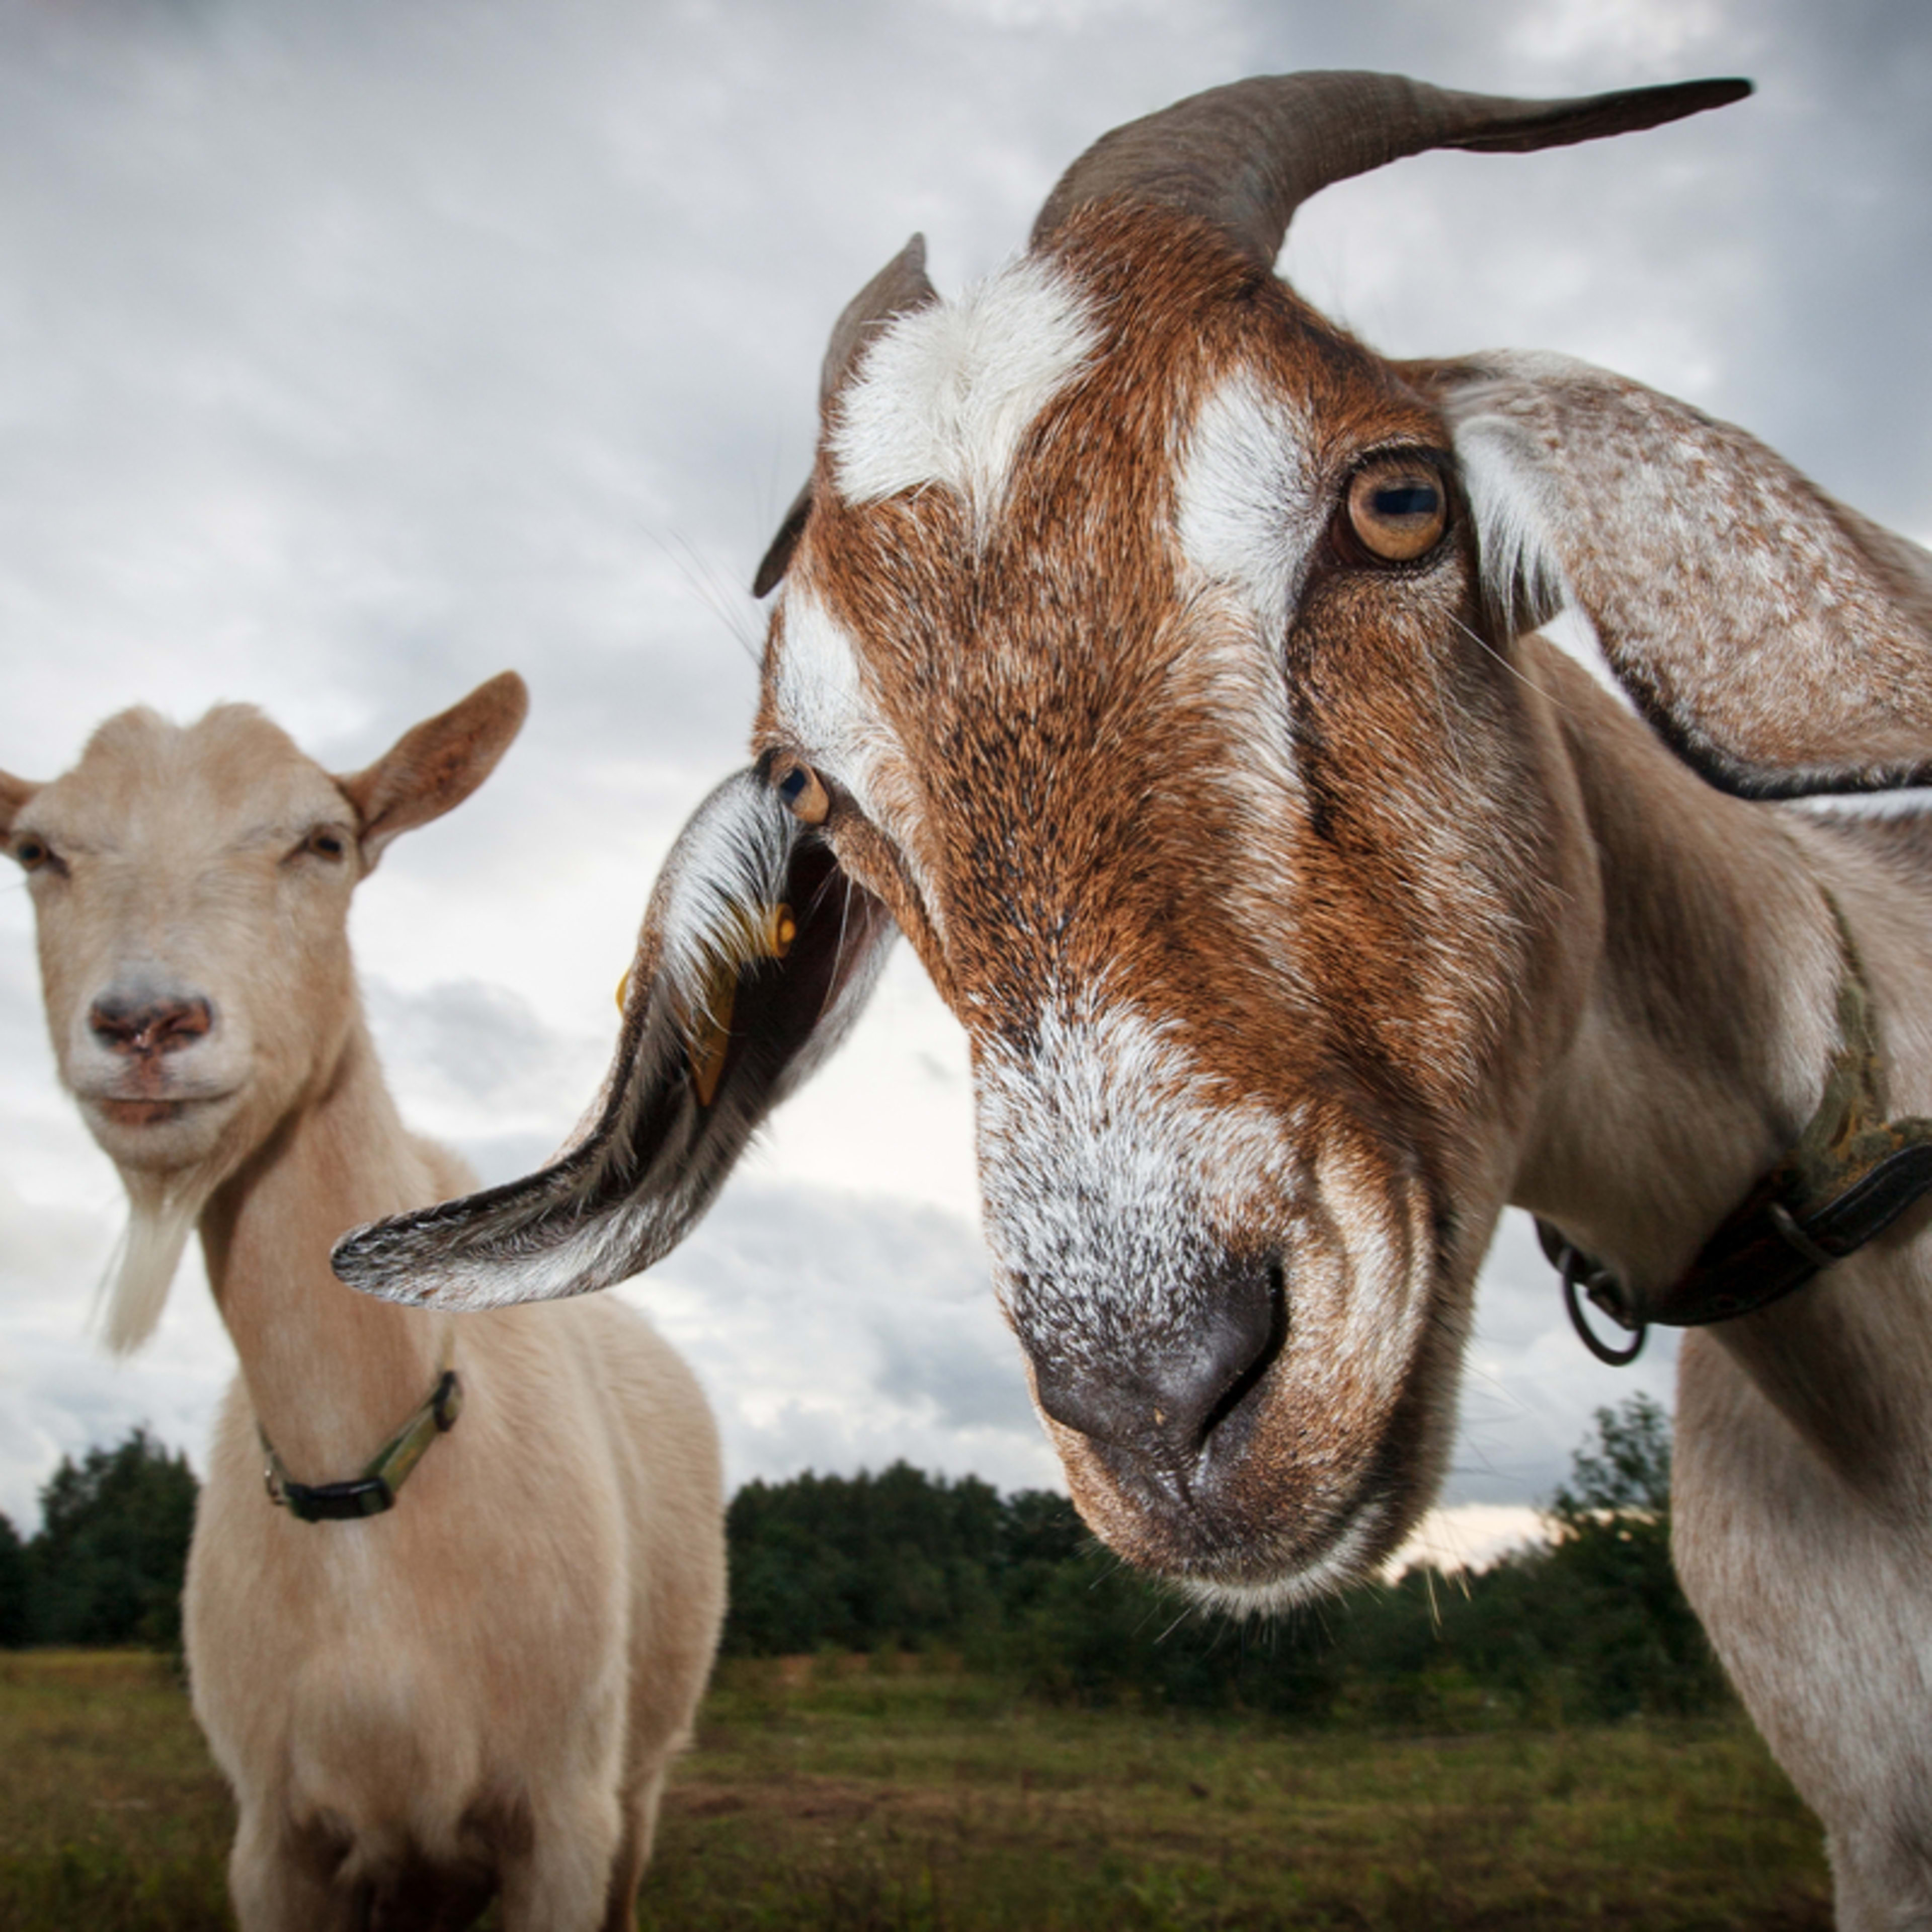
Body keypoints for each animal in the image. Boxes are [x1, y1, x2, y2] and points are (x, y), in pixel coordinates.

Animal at [1, 676, 725, 1931]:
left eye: (323, 843)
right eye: (37, 852)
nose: (146, 1024)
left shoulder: (564, 1822)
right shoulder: (275, 1840)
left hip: (641, 1779)